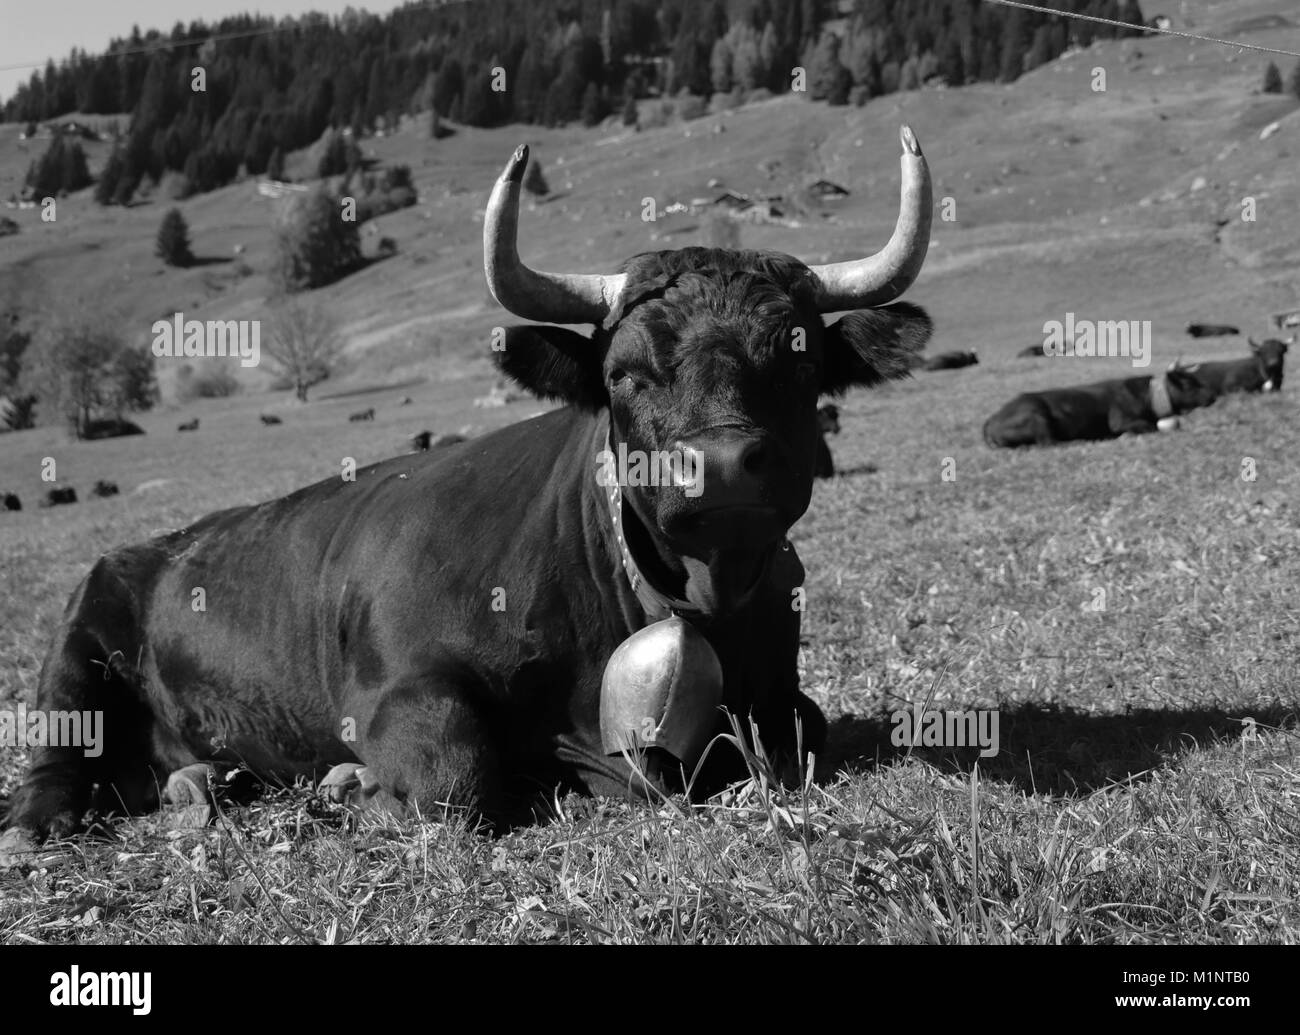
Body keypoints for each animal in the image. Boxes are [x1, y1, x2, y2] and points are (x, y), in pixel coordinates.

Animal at [1, 130, 933, 847]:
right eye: (625, 372)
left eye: (800, 357)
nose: (726, 460)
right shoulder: (398, 685)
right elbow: (455, 774)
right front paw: (354, 787)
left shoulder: (779, 684)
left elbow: (801, 731)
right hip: (76, 641)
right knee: (56, 752)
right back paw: (39, 821)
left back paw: (200, 783)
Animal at [983, 367, 1216, 447]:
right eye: (1189, 383)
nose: (1212, 395)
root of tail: (991, 420)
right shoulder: (1121, 421)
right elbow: (1149, 427)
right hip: (1037, 416)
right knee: (1049, 443)